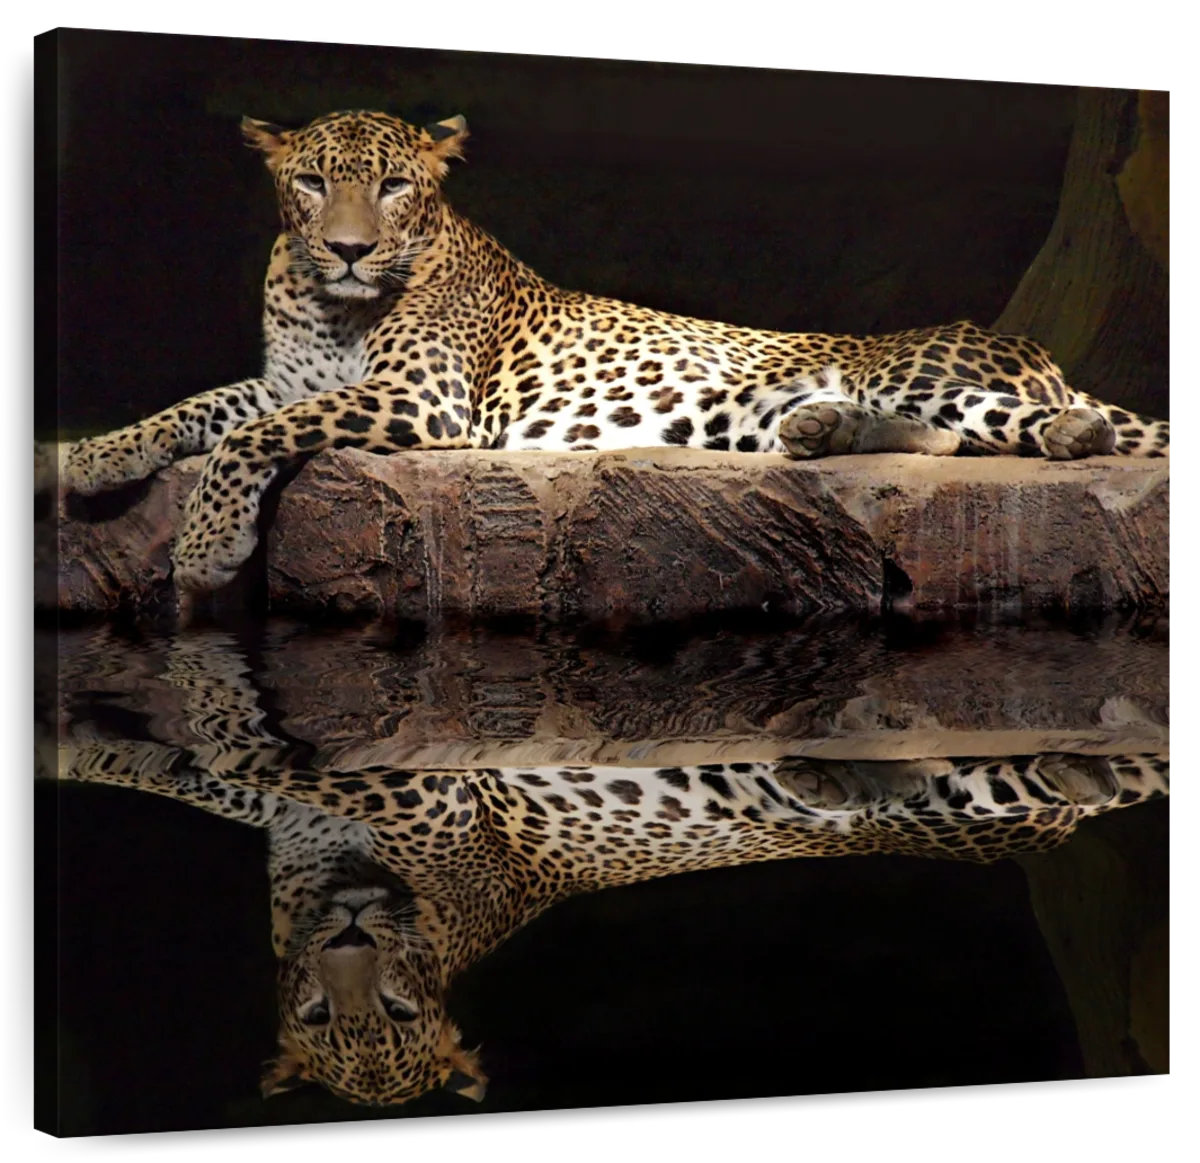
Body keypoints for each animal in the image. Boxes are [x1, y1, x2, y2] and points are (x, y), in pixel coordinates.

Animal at [57, 109, 1169, 596]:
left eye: (393, 186)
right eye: (314, 180)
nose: (348, 248)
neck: (330, 305)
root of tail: (1033, 344)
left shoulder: (420, 401)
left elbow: (253, 439)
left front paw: (206, 548)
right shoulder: (287, 378)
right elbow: (199, 409)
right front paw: (91, 457)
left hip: (924, 370)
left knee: (1042, 429)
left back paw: (1062, 430)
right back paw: (817, 428)